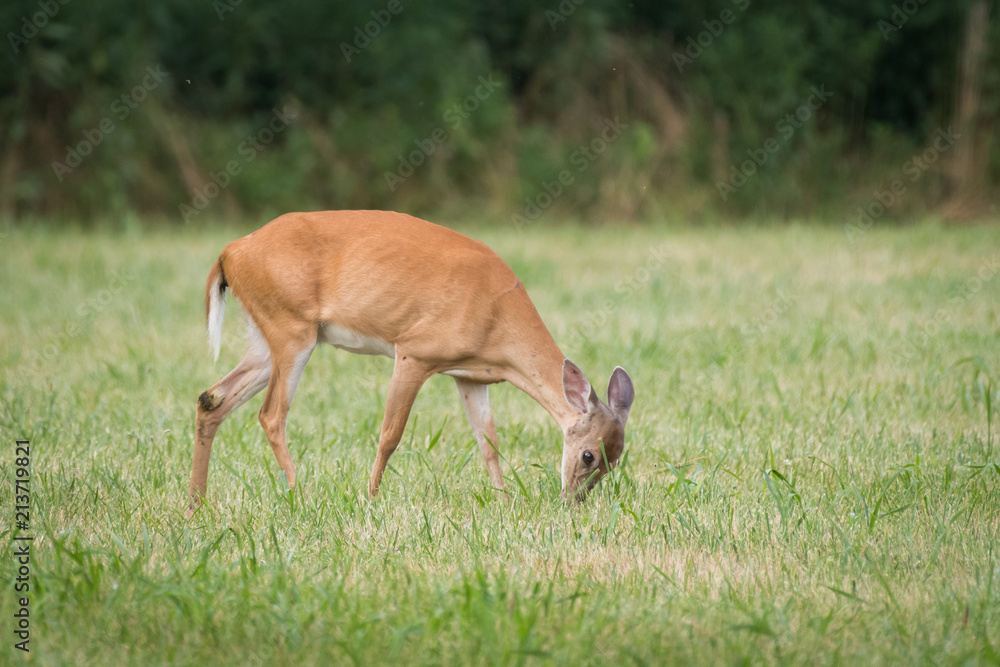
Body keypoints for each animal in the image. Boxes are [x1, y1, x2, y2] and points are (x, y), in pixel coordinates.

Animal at [186, 210, 634, 517]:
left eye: (616, 460)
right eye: (589, 455)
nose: (573, 502)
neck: (498, 320)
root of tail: (229, 252)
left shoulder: (470, 376)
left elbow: (488, 443)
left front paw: (503, 501)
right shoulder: (415, 351)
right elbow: (390, 435)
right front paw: (370, 498)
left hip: (266, 338)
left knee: (212, 399)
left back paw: (195, 504)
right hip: (291, 327)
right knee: (271, 414)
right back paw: (301, 495)